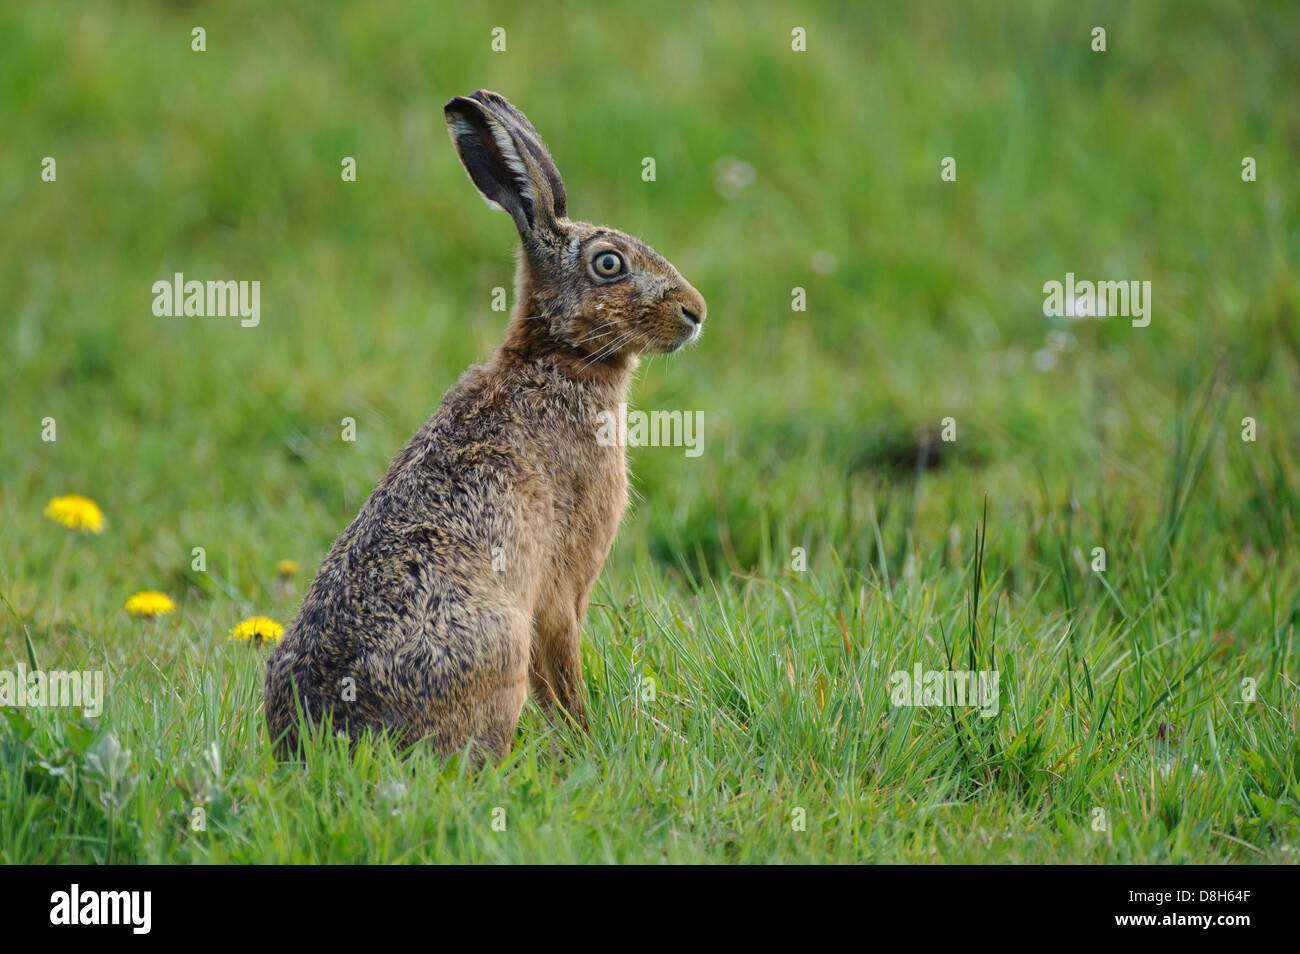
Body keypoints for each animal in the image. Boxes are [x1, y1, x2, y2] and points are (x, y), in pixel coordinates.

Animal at [264, 90, 707, 761]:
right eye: (609, 264)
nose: (696, 312)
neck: (556, 355)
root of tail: (324, 736)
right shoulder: (561, 583)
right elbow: (563, 666)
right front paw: (586, 742)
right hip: (499, 647)